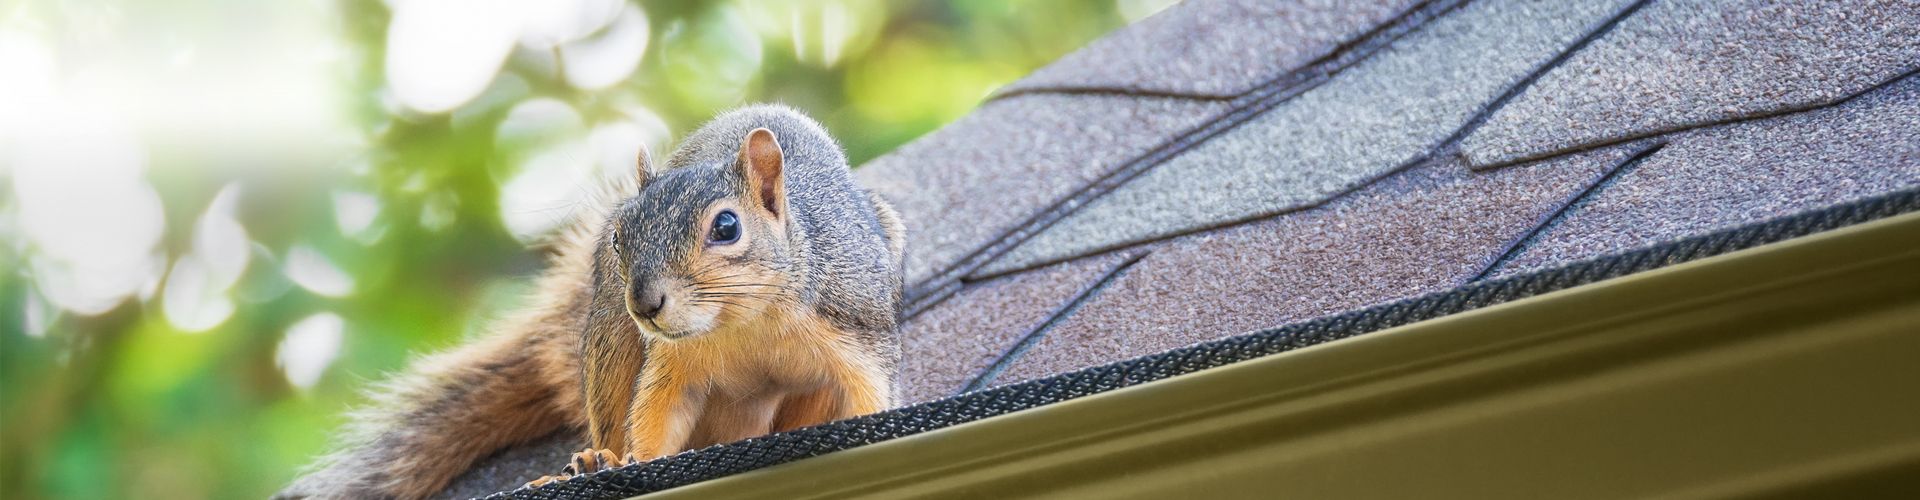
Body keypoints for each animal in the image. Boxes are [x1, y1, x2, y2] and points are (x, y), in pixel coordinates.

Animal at [275, 105, 906, 499]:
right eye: (620, 236)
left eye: (727, 226)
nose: (645, 303)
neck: (744, 322)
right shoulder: (672, 364)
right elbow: (656, 418)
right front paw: (630, 463)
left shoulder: (857, 331)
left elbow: (871, 396)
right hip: (609, 342)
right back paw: (593, 459)